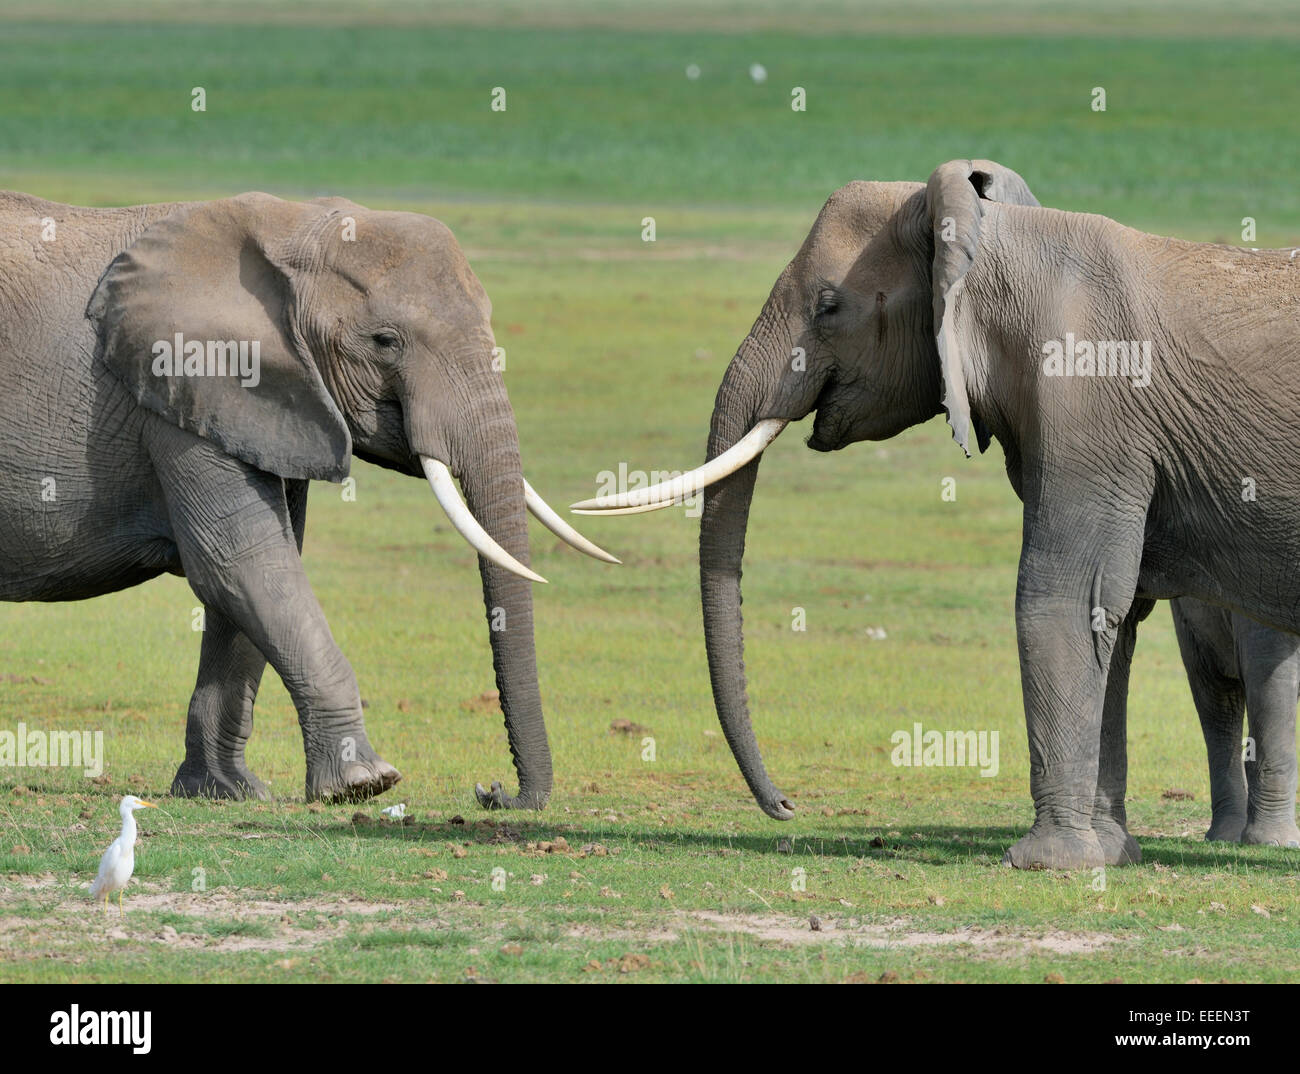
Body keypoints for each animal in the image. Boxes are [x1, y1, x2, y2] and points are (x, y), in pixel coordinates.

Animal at [0, 189, 616, 806]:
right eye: (385, 342)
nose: (492, 791)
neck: (291, 226)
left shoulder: (262, 402)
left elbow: (253, 578)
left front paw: (226, 792)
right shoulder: (177, 388)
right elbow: (243, 565)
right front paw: (364, 784)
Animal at [575, 157, 1300, 867]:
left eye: (827, 305)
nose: (786, 805)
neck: (996, 244)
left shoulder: (1087, 408)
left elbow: (1065, 597)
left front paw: (1047, 863)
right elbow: (1112, 617)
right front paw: (1110, 855)